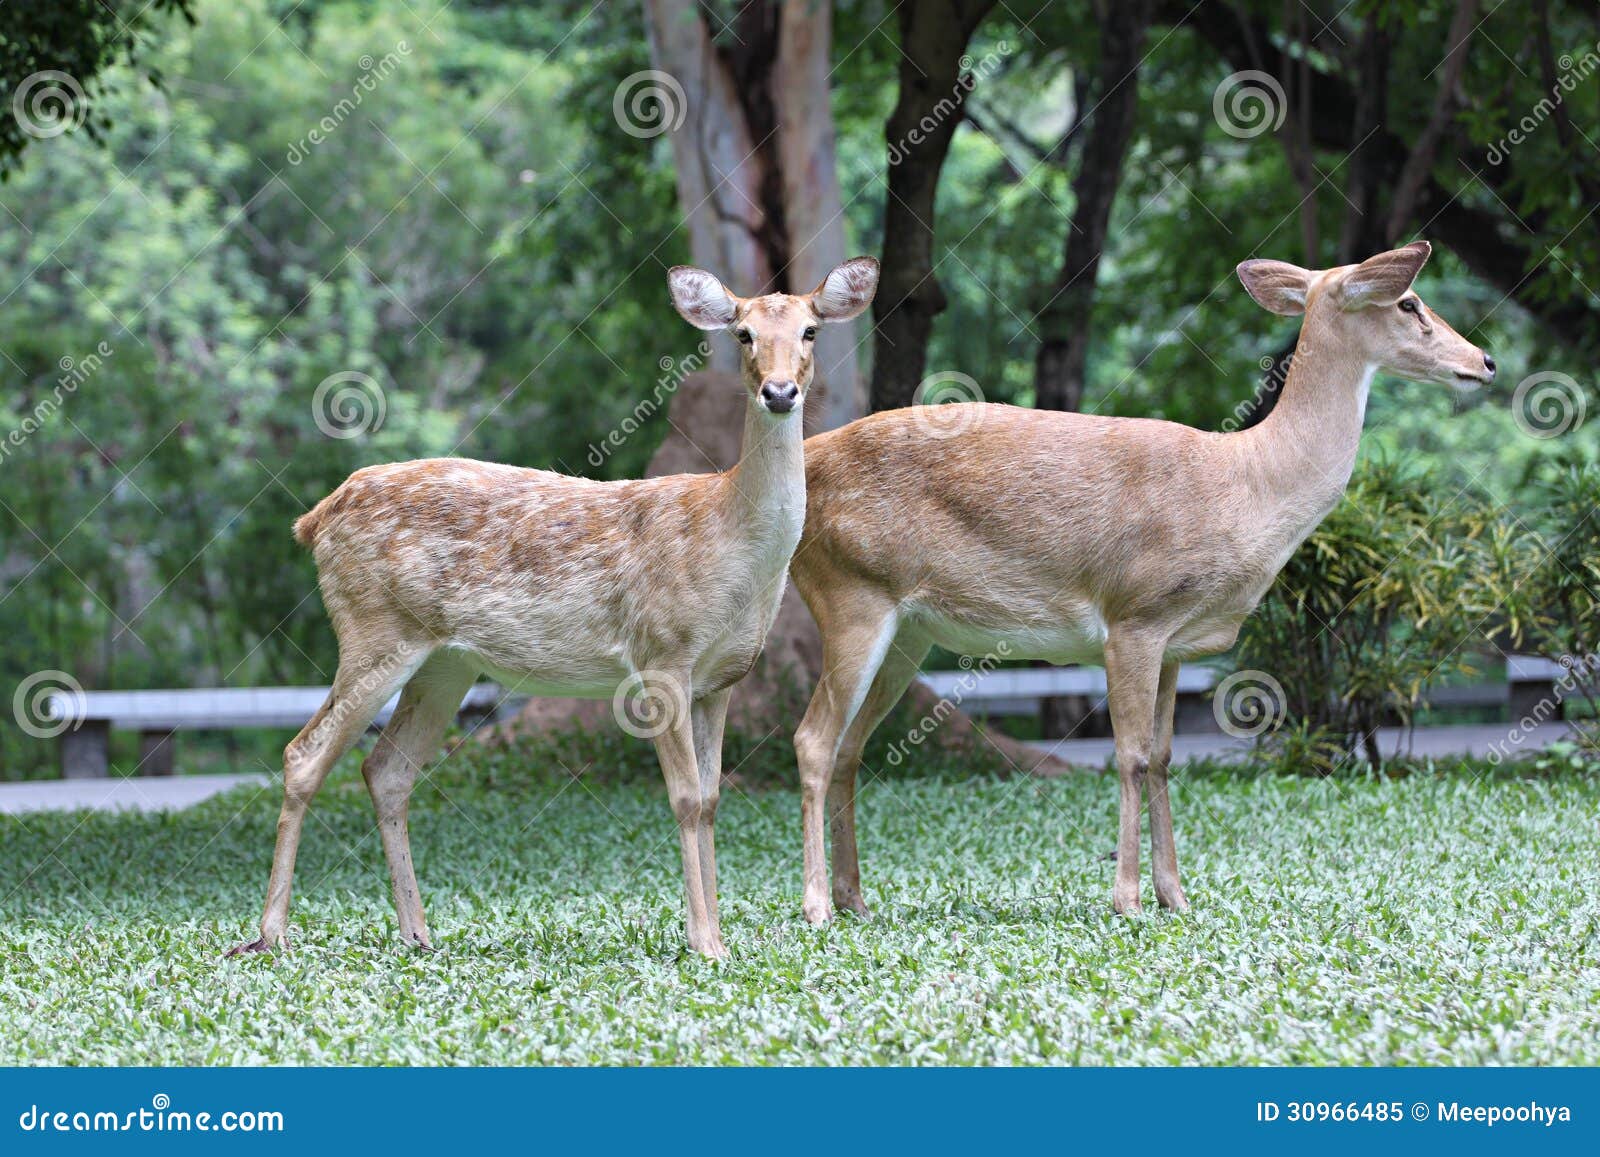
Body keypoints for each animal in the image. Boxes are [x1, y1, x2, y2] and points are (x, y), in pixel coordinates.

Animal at [227, 256, 880, 960]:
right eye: (743, 333)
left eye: (811, 330)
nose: (780, 392)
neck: (731, 541)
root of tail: (314, 520)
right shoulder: (661, 654)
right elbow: (683, 799)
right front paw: (706, 942)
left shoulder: (721, 678)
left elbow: (710, 800)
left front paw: (716, 936)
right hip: (373, 629)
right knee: (305, 754)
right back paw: (270, 934)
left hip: (445, 664)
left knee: (387, 769)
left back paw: (417, 933)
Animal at [787, 241, 1495, 924]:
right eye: (1408, 301)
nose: (1485, 361)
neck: (1250, 487)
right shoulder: (1135, 613)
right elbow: (1127, 754)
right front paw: (1126, 899)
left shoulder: (1177, 641)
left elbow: (1161, 758)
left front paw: (1175, 896)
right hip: (850, 591)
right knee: (813, 740)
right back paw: (818, 906)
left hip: (908, 632)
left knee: (851, 747)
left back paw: (856, 899)